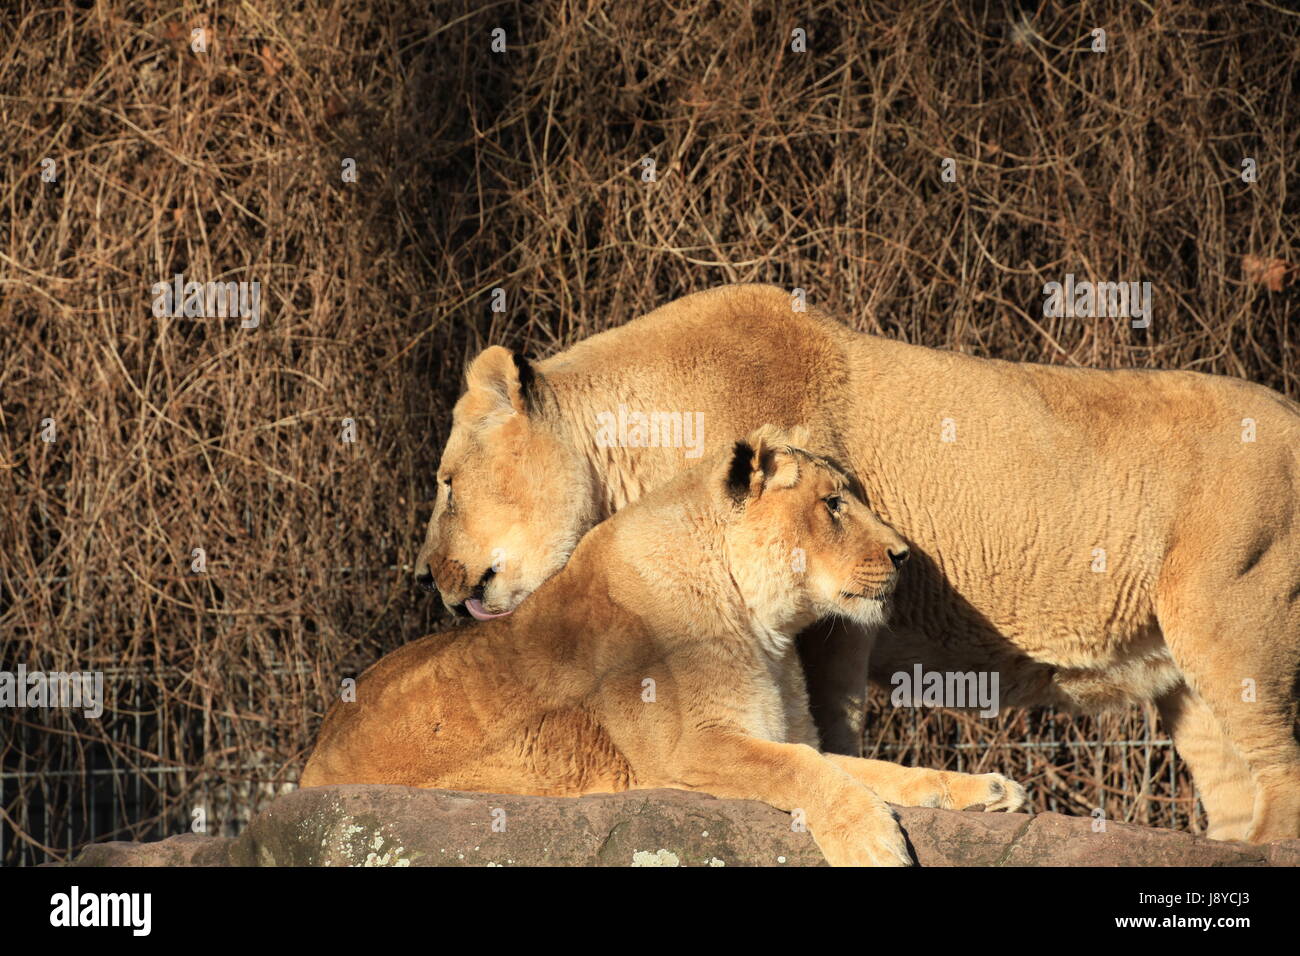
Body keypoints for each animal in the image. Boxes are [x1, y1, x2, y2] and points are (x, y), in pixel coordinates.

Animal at [302, 428, 1027, 866]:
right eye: (833, 505)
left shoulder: (782, 732)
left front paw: (984, 791)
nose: (905, 555)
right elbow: (803, 770)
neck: (763, 627)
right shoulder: (689, 750)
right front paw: (874, 843)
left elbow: (871, 769)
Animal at [415, 284, 1300, 844]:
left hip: (1233, 621)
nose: (431, 577)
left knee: (1281, 768)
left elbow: (827, 726)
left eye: (448, 484)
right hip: (1184, 673)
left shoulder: (829, 607)